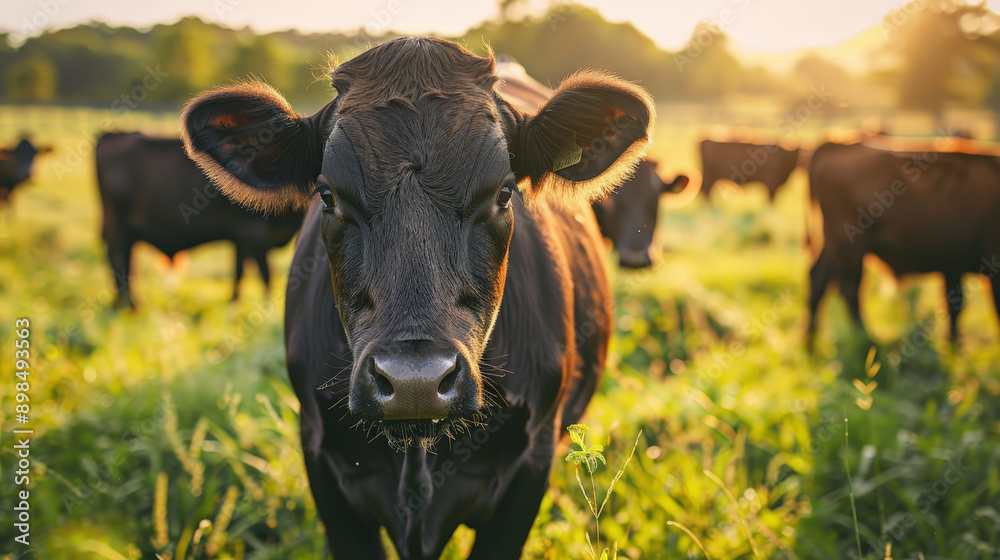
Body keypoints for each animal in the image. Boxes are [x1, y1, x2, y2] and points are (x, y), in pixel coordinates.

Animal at [95, 132, 305, 308]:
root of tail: (115, 135)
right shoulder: (254, 235)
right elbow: (266, 274)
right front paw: (267, 307)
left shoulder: (241, 239)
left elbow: (239, 272)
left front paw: (234, 303)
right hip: (118, 231)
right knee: (119, 261)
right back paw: (131, 307)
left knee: (126, 264)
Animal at [806, 140, 1000, 348]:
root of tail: (835, 145)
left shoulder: (953, 265)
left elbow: (955, 306)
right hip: (850, 246)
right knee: (850, 289)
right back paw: (866, 340)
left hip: (832, 245)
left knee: (819, 280)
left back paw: (811, 344)